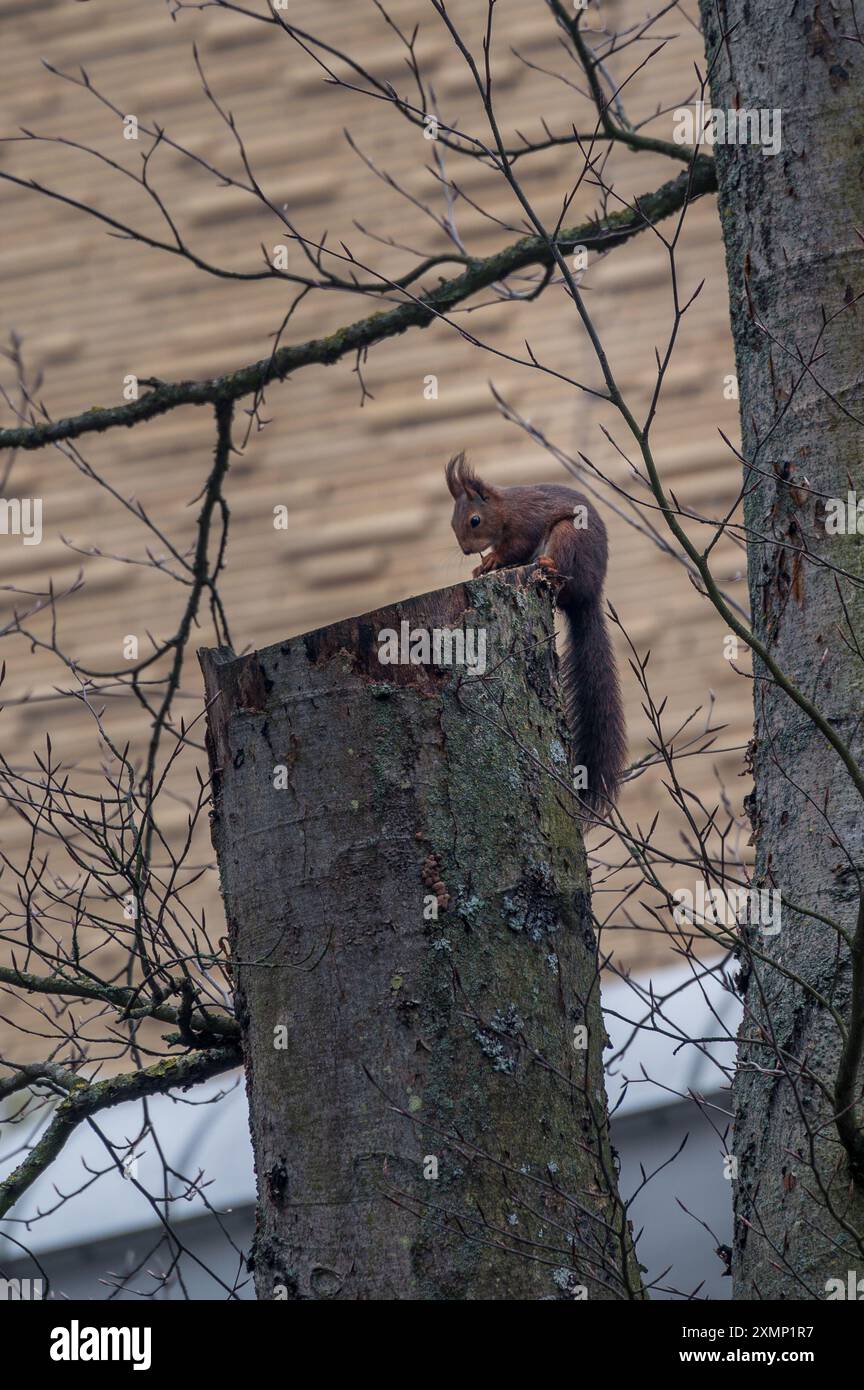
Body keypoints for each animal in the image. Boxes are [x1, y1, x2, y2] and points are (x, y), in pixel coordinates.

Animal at [446, 452, 626, 814]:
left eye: (474, 520)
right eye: (452, 523)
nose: (468, 550)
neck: (505, 509)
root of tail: (590, 595)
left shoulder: (526, 525)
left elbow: (516, 547)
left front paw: (491, 561)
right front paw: (481, 565)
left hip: (569, 535)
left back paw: (549, 565)